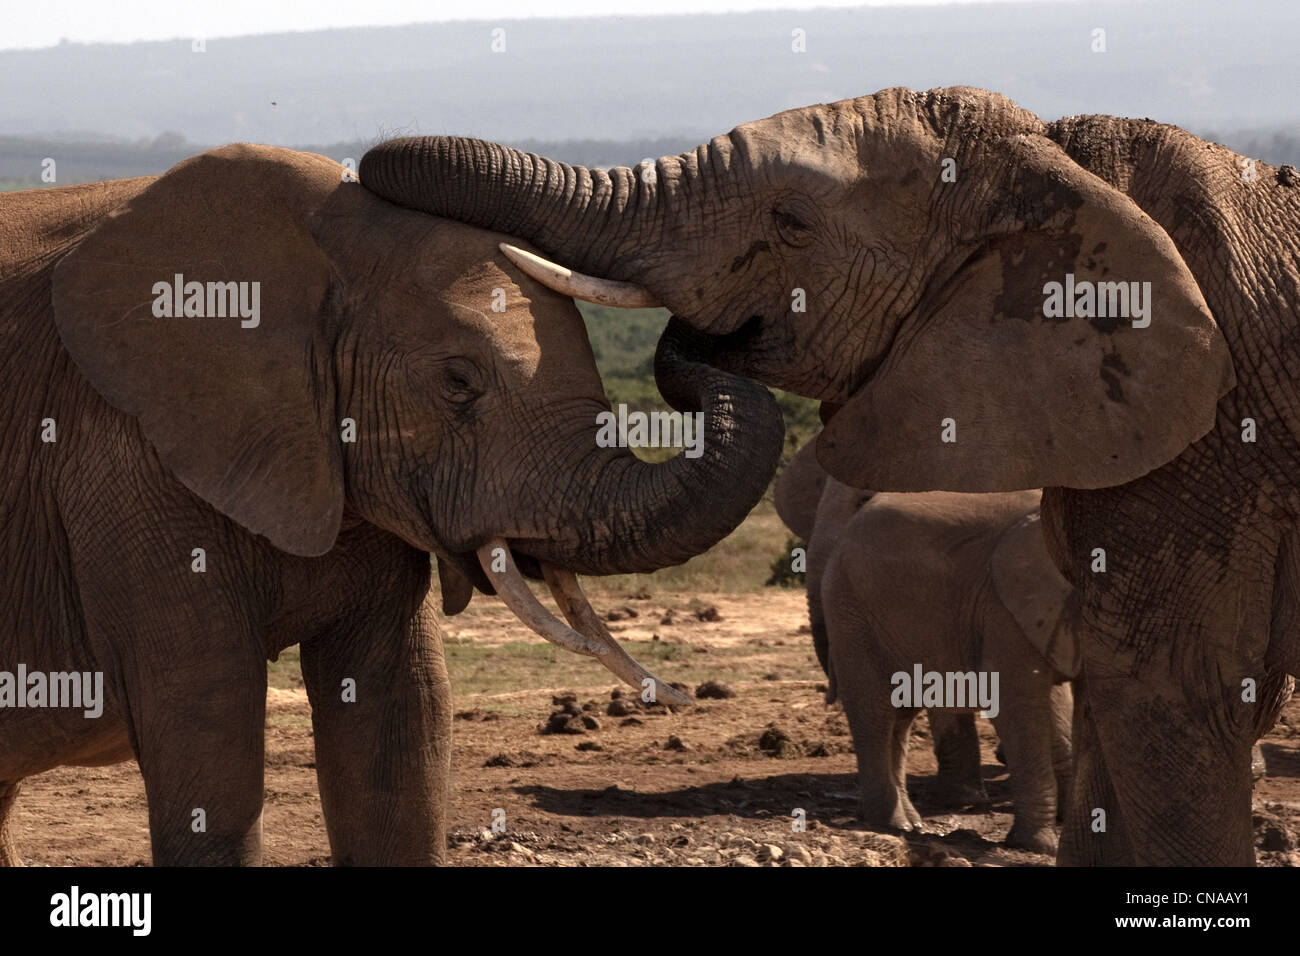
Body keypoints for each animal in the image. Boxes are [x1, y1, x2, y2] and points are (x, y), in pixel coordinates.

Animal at [776, 442, 1077, 852]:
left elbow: (1054, 702)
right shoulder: (1000, 607)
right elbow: (1018, 702)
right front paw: (1039, 844)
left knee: (898, 717)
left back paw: (908, 821)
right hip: (855, 611)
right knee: (876, 712)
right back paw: (895, 823)